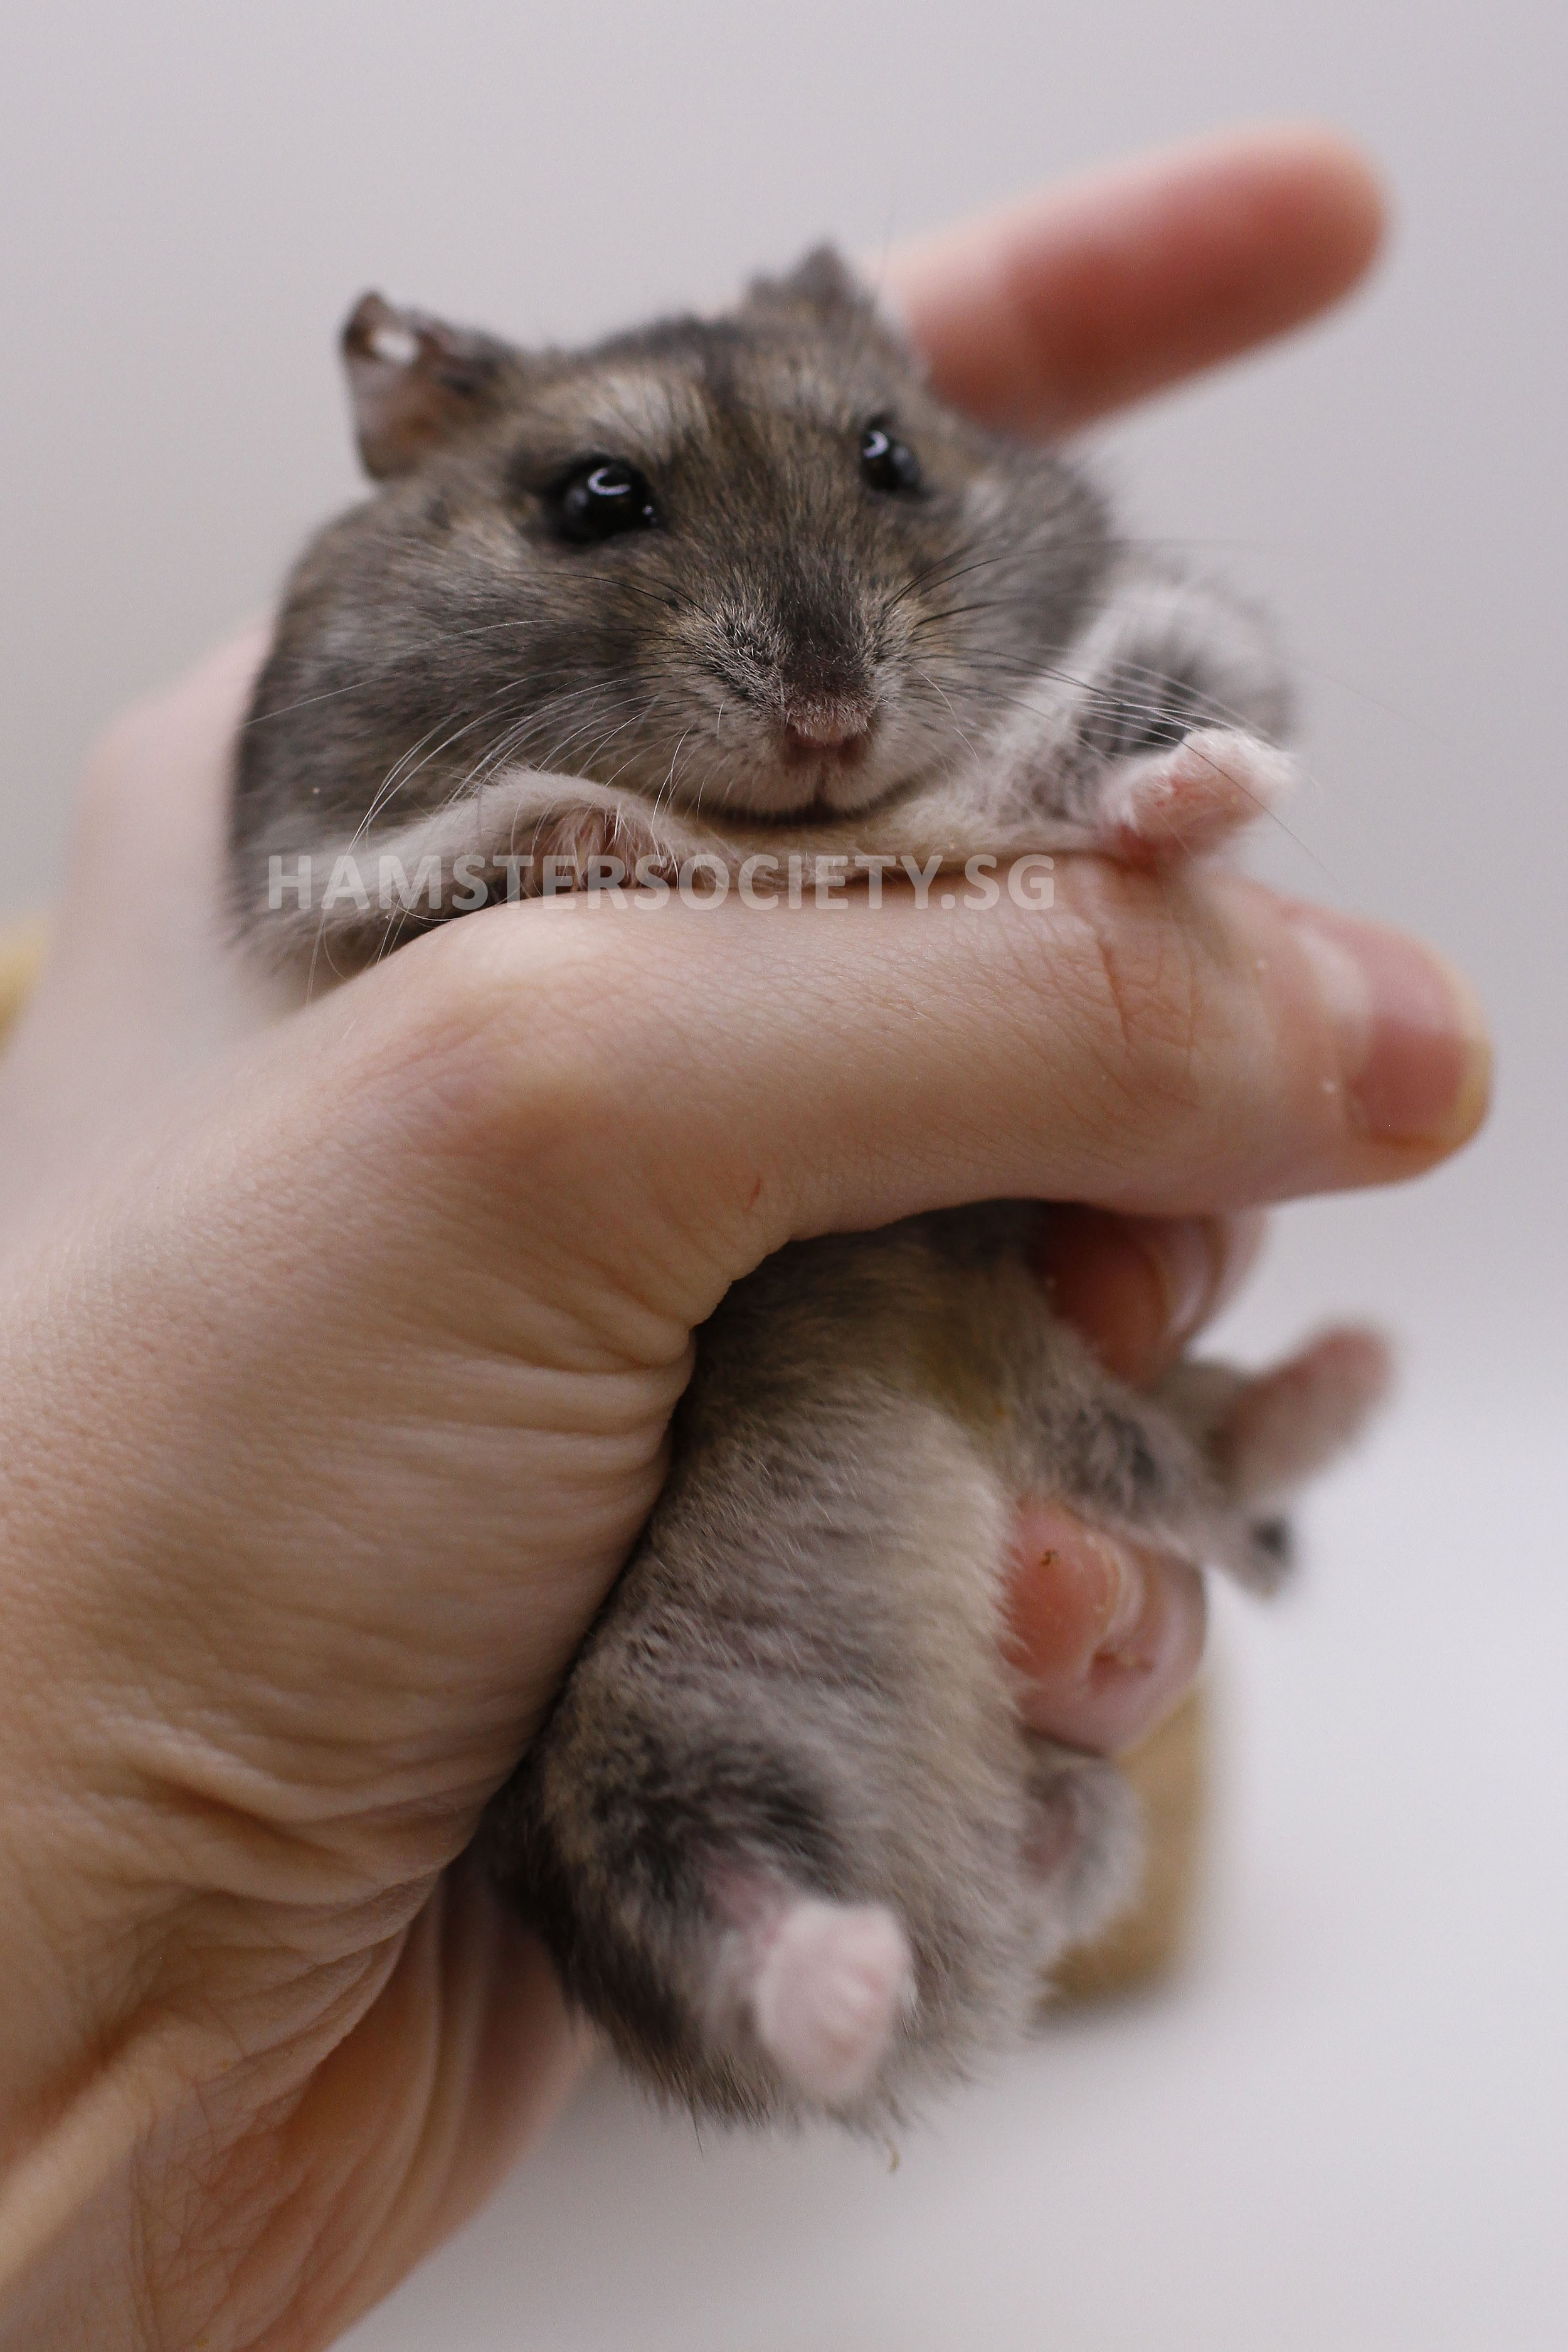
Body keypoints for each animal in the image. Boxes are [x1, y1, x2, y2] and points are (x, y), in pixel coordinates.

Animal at [231, 249, 1390, 2129]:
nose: (830, 718)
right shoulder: (330, 881)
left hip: (1104, 1476)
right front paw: (593, 840)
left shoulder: (1145, 667)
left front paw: (1217, 787)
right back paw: (844, 1981)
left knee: (1223, 1493)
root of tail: (953, 1922)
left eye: (889, 457)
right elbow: (472, 847)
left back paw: (1340, 1380)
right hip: (656, 1735)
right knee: (724, 1909)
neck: (815, 831)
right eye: (593, 498)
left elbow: (1116, 744)